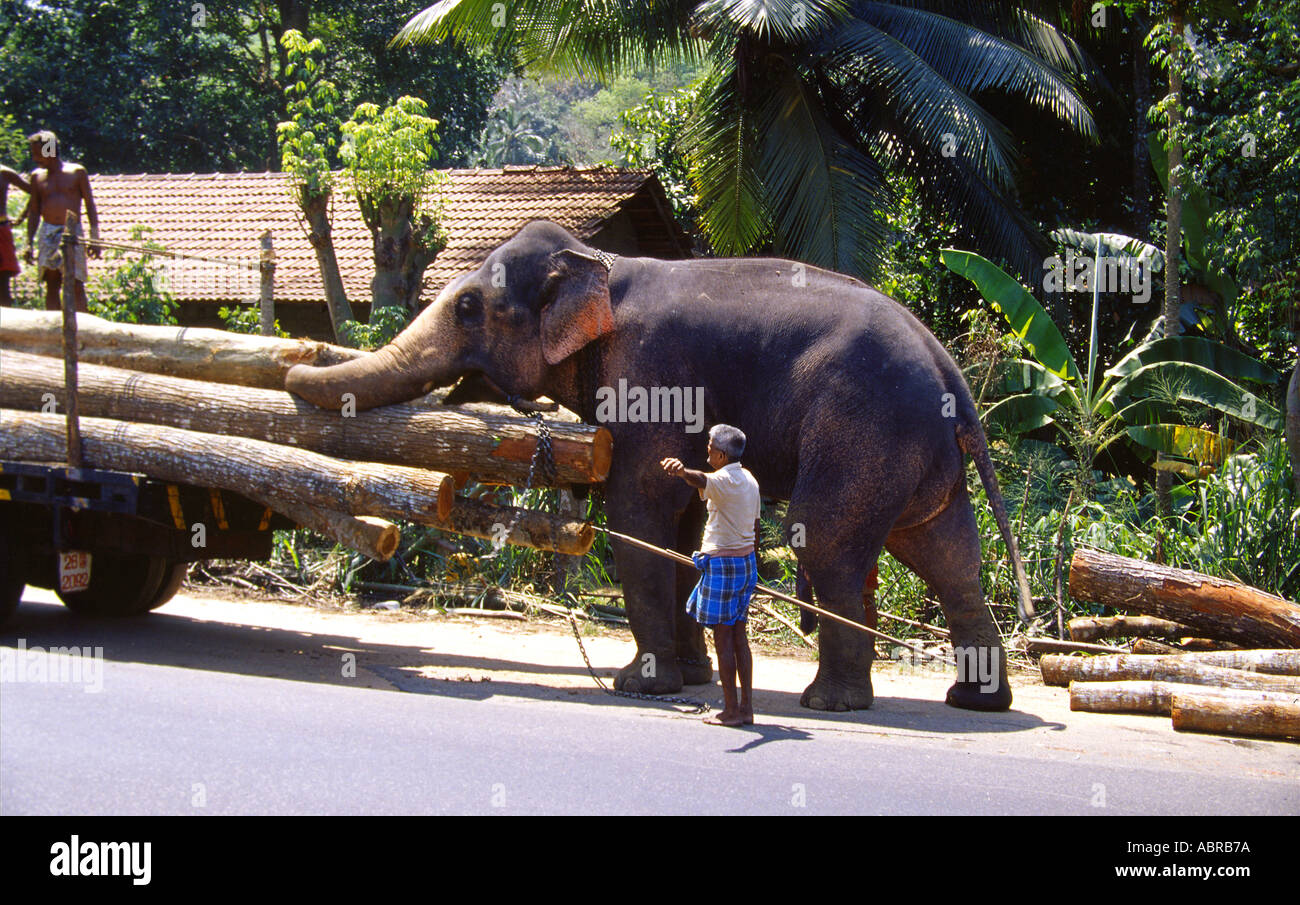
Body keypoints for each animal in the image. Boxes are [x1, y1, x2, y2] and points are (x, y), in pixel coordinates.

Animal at [286, 220, 1034, 712]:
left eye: (468, 306)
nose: (296, 358)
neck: (600, 262)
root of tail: (952, 374)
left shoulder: (650, 374)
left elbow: (638, 513)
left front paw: (639, 686)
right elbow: (681, 525)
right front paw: (693, 679)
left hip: (868, 428)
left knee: (826, 537)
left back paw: (830, 703)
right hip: (920, 453)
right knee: (947, 555)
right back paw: (973, 701)